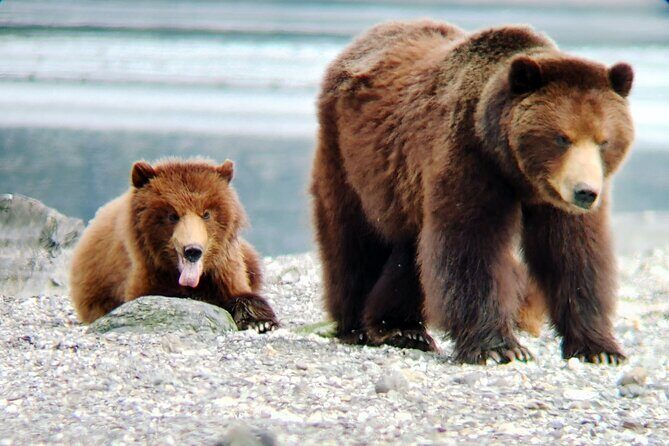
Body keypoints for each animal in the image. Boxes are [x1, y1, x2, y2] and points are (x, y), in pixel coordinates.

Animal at [70, 158, 279, 332]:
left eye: (206, 213)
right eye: (172, 215)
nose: (192, 250)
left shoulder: (225, 265)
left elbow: (239, 292)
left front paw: (260, 322)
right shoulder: (144, 269)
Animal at [310, 20, 634, 364]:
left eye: (604, 140)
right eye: (562, 138)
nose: (586, 192)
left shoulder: (557, 200)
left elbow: (573, 253)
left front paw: (600, 348)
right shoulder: (469, 157)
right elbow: (471, 244)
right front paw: (499, 347)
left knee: (410, 251)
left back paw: (403, 329)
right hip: (350, 156)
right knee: (353, 239)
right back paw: (357, 326)